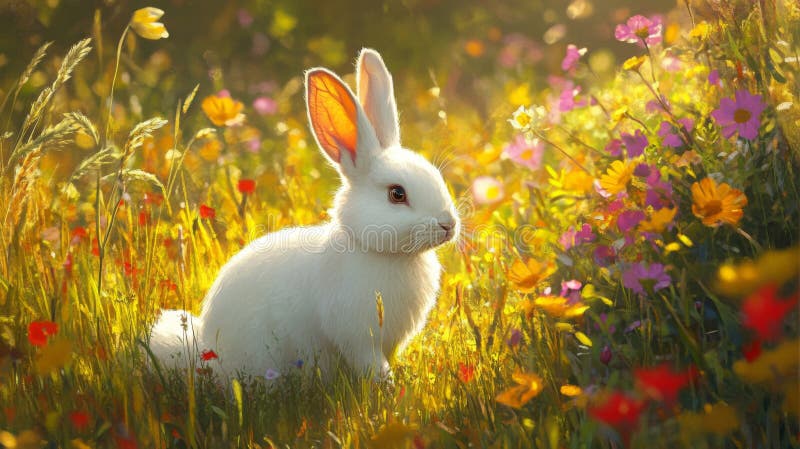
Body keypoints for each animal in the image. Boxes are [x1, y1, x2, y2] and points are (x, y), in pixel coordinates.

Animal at [149, 48, 459, 381]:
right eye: (397, 194)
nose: (448, 225)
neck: (385, 254)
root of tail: (208, 350)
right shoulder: (357, 337)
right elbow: (371, 364)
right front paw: (387, 386)